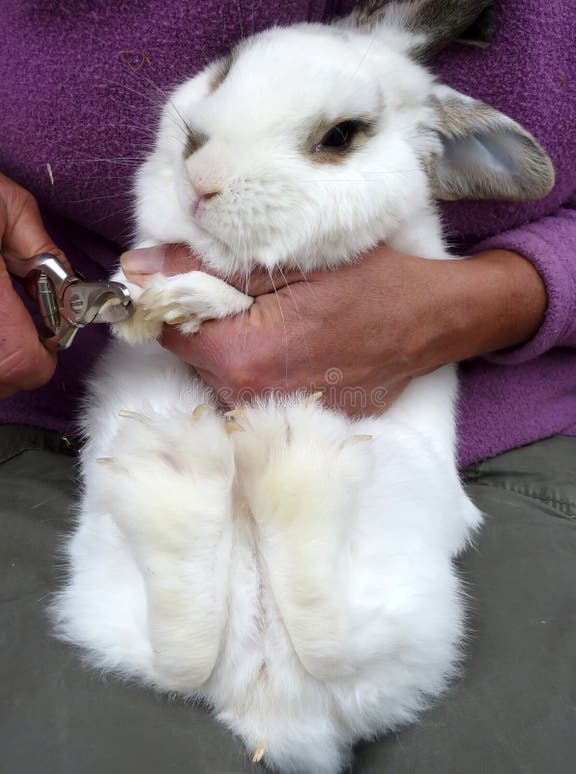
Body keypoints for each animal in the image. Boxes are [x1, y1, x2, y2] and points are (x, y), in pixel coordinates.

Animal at [51, 1, 554, 772]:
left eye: (341, 136)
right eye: (228, 63)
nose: (200, 174)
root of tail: (272, 713)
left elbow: (232, 295)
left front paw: (188, 298)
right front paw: (130, 302)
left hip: (407, 560)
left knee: (331, 639)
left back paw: (288, 453)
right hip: (109, 582)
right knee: (184, 653)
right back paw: (182, 470)